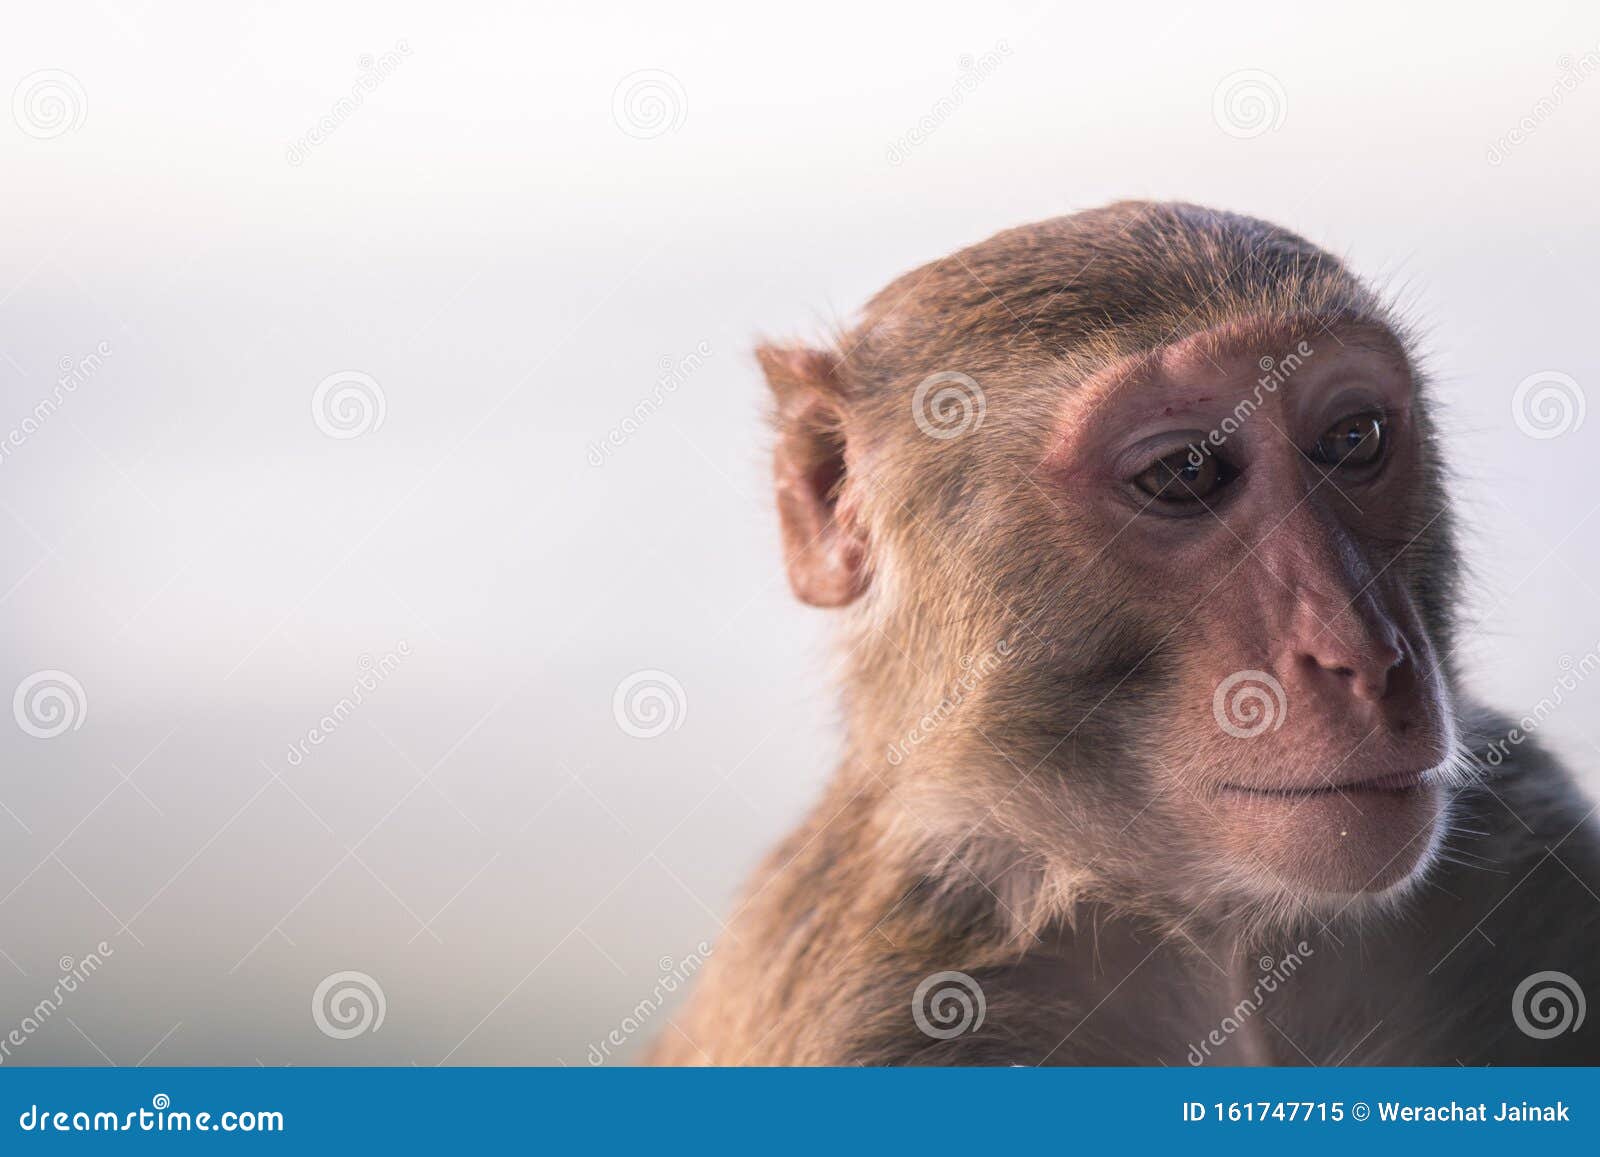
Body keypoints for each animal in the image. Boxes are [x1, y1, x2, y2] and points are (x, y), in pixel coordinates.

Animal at [647, 202, 1600, 1066]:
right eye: (1183, 470)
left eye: (1352, 435)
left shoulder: (1533, 832)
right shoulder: (882, 1007)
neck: (1221, 939)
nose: (1366, 652)